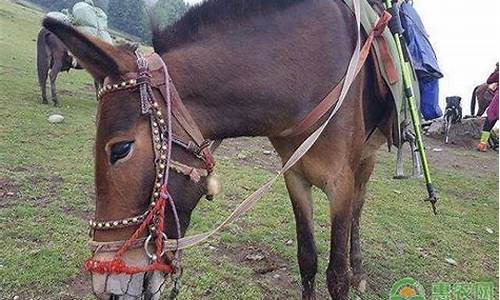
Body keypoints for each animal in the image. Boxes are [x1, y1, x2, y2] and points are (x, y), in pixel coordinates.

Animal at [44, 1, 402, 298]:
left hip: (365, 160)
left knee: (359, 206)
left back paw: (359, 271)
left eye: (120, 149)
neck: (309, 72)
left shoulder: (339, 181)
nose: (106, 285)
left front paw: (350, 274)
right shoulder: (295, 177)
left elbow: (337, 275)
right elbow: (307, 259)